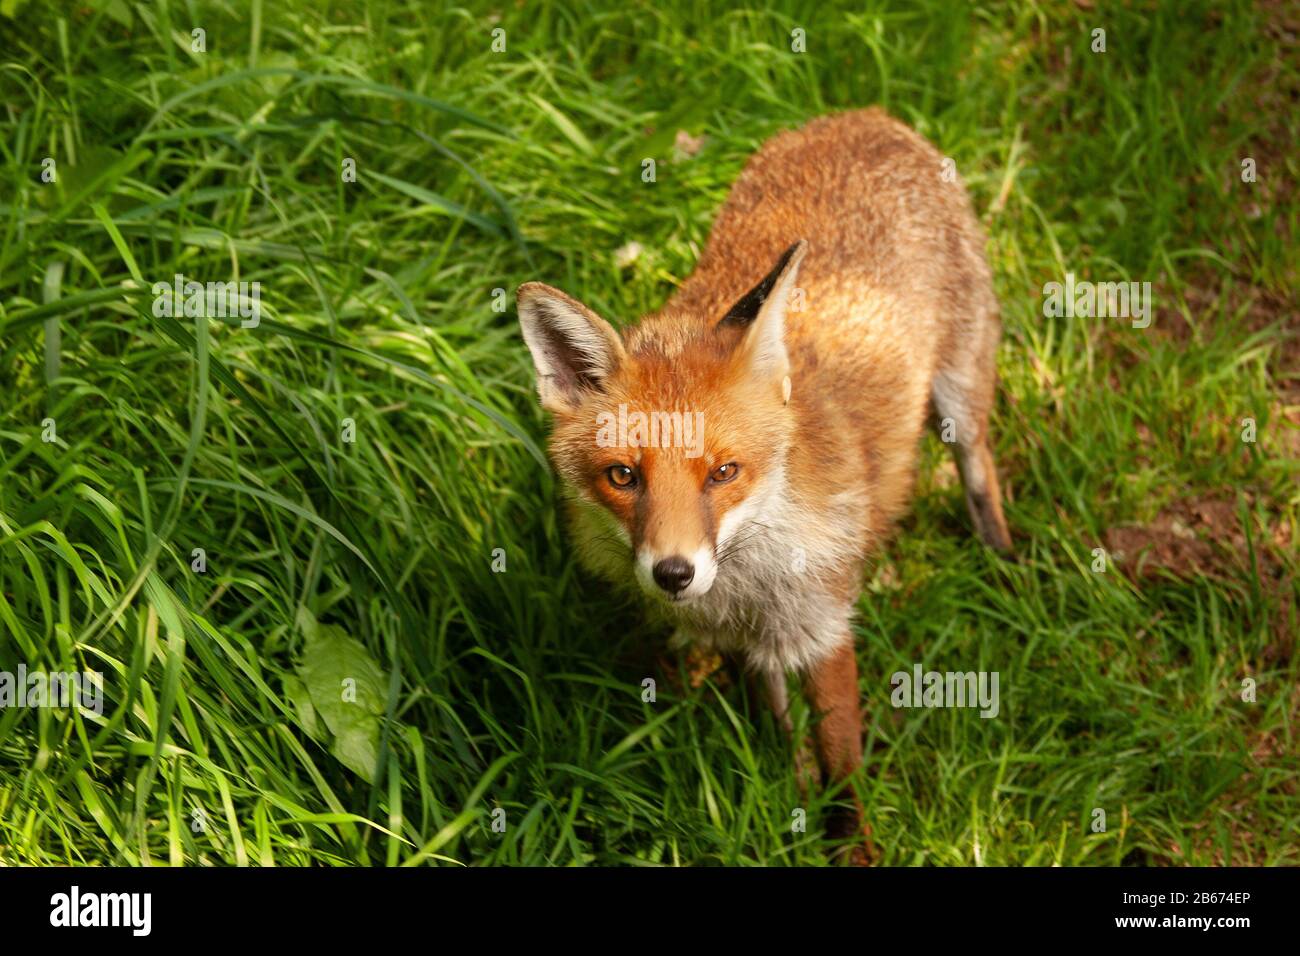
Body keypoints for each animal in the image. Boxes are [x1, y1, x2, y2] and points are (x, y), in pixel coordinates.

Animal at [516, 107, 1012, 860]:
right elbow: (779, 732)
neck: (747, 580)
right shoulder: (748, 645)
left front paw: (854, 849)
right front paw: (794, 795)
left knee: (982, 477)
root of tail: (865, 116)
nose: (673, 573)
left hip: (959, 398)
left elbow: (843, 763)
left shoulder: (822, 626)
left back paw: (1006, 569)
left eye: (724, 472)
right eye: (623, 476)